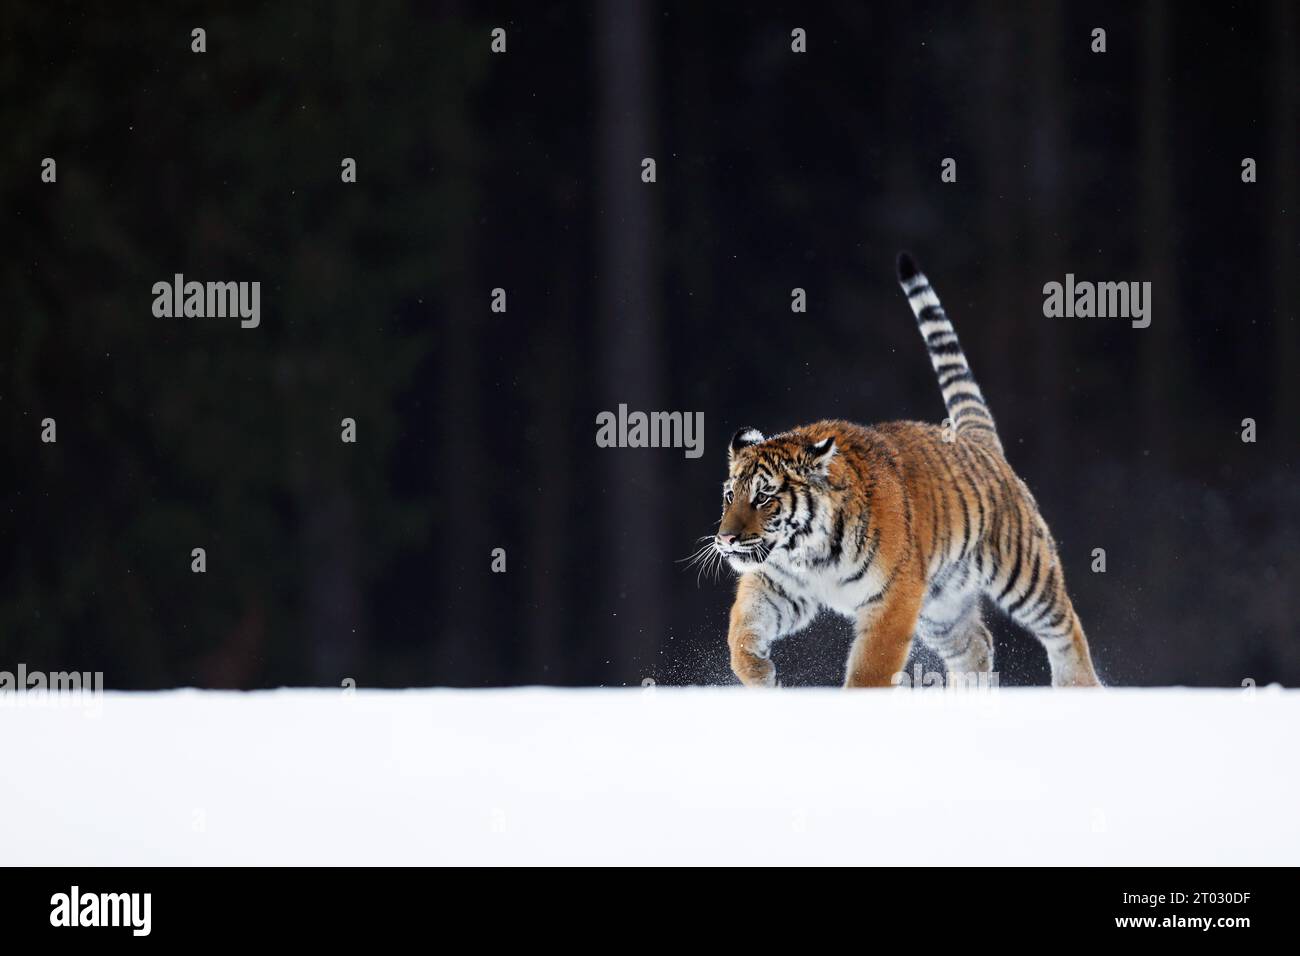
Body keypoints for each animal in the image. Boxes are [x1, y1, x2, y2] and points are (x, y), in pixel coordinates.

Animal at [714, 252, 1101, 689]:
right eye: (730, 495)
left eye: (764, 497)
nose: (725, 539)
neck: (806, 552)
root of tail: (976, 440)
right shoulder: (777, 584)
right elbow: (741, 629)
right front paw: (762, 676)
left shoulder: (893, 597)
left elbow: (870, 669)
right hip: (942, 606)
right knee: (977, 644)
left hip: (1023, 572)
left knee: (1065, 626)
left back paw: (1079, 686)